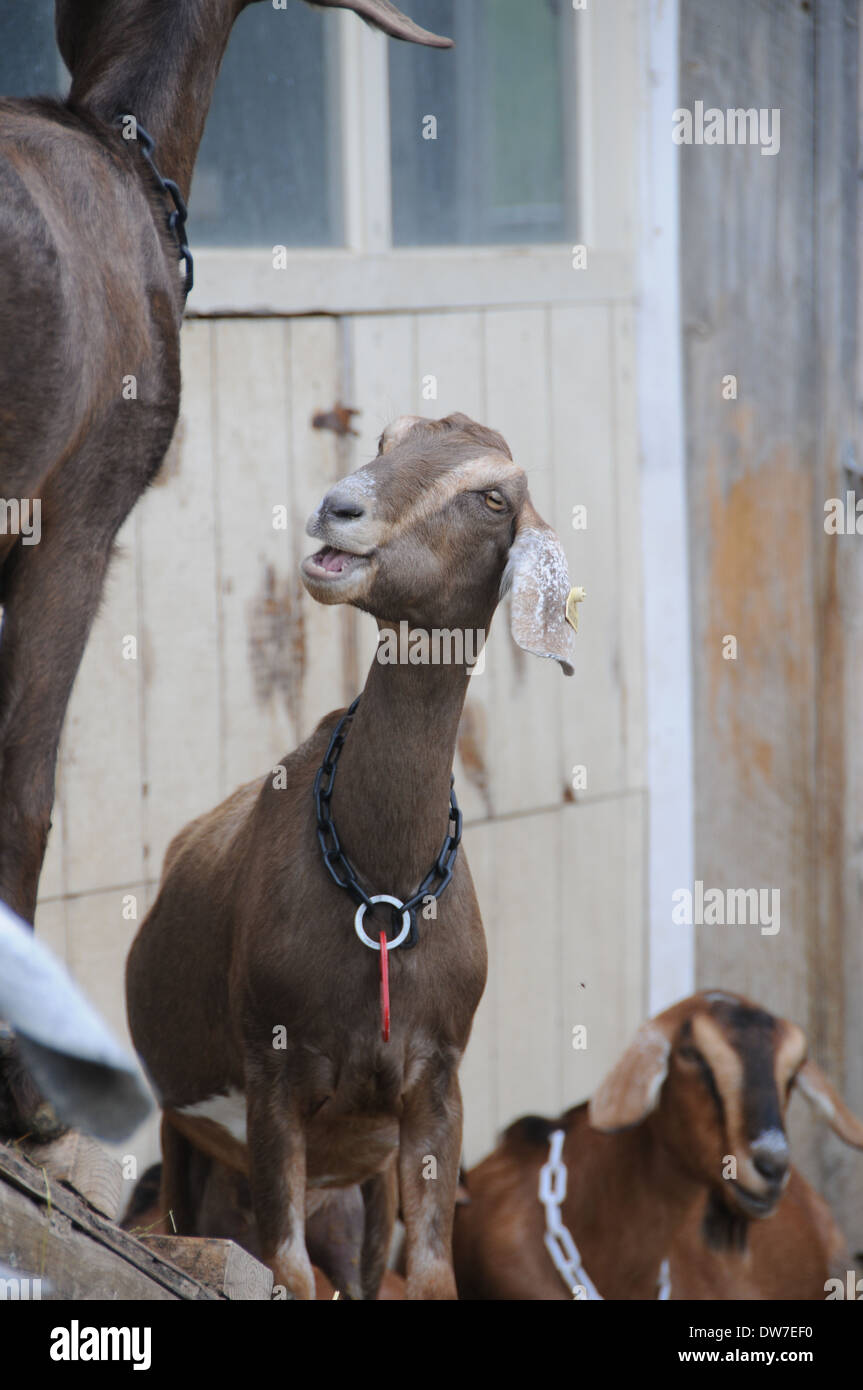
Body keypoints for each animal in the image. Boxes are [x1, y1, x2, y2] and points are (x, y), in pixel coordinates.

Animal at [125, 411, 579, 1300]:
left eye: (491, 497)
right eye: (384, 439)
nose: (338, 510)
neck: (383, 888)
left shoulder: (434, 1085)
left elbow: (430, 1274)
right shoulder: (273, 1077)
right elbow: (288, 1270)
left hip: (362, 1184)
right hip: (183, 1133)